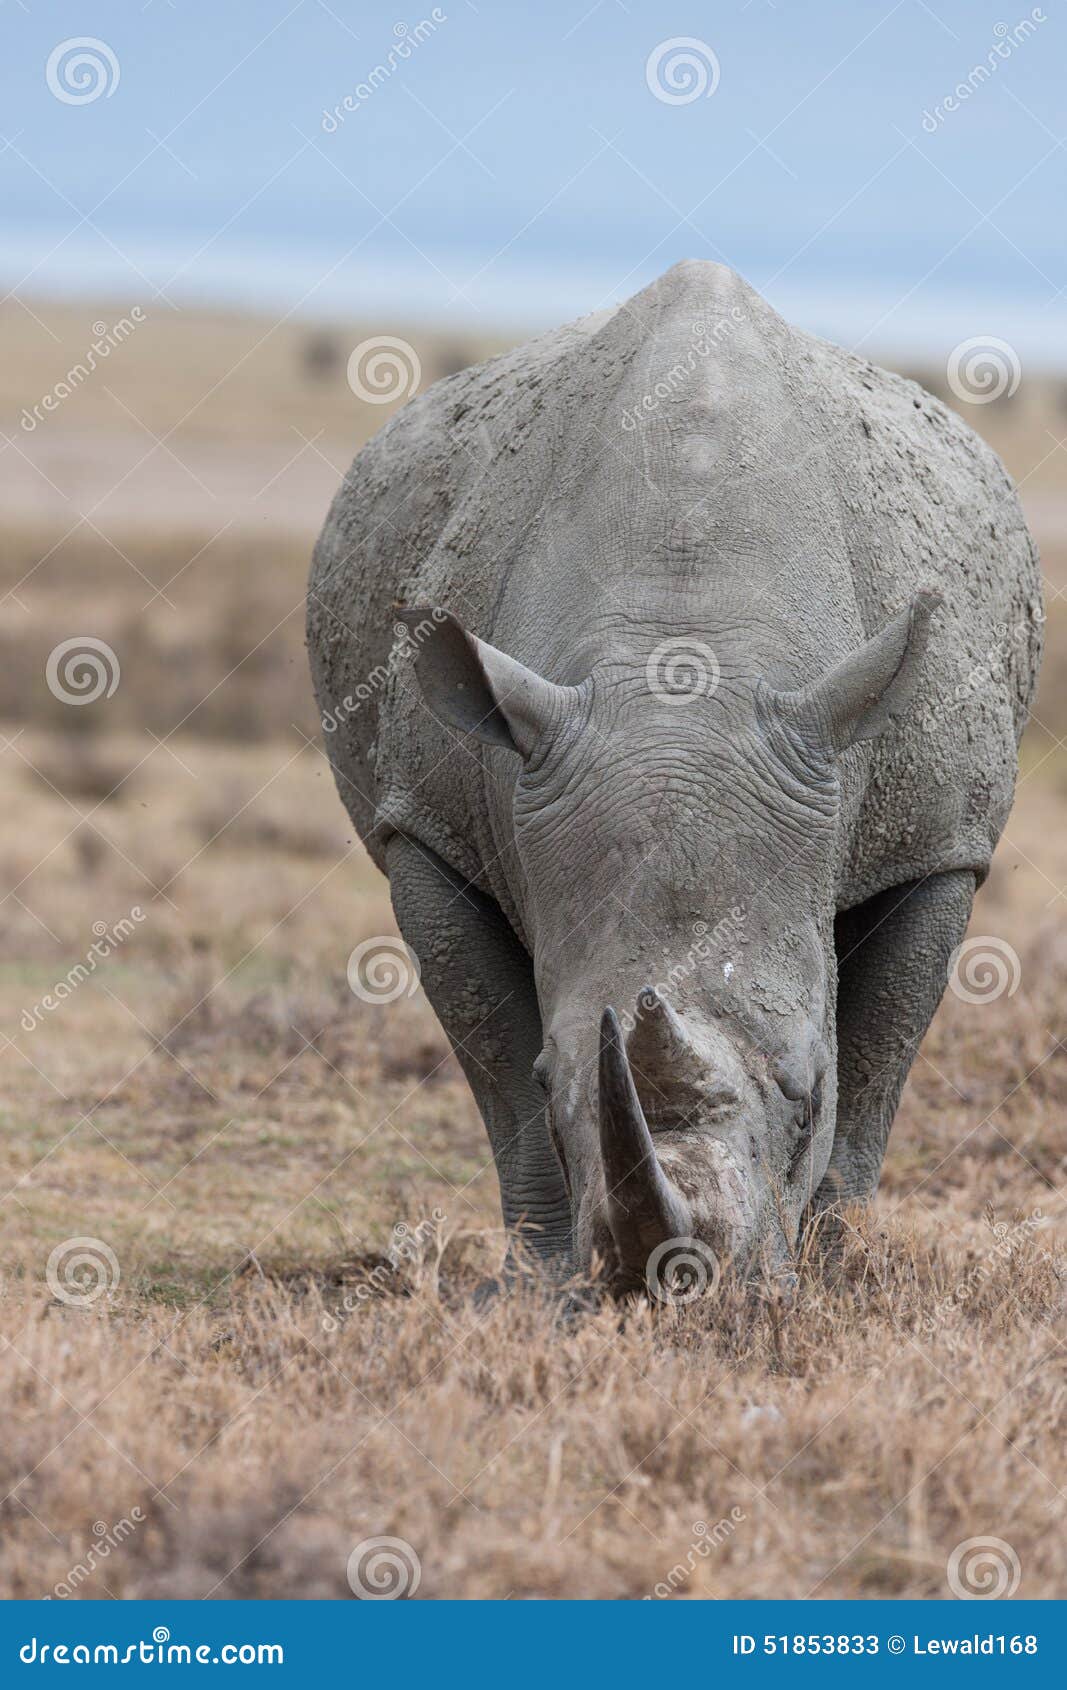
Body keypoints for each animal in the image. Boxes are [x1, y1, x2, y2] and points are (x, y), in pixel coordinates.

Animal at [308, 260, 1042, 1298]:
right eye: (556, 1081)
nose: (684, 1283)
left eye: (808, 1095)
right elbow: (494, 1059)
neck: (683, 663)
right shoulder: (424, 827)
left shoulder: (935, 840)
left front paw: (839, 1273)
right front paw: (531, 1286)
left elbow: (881, 1049)